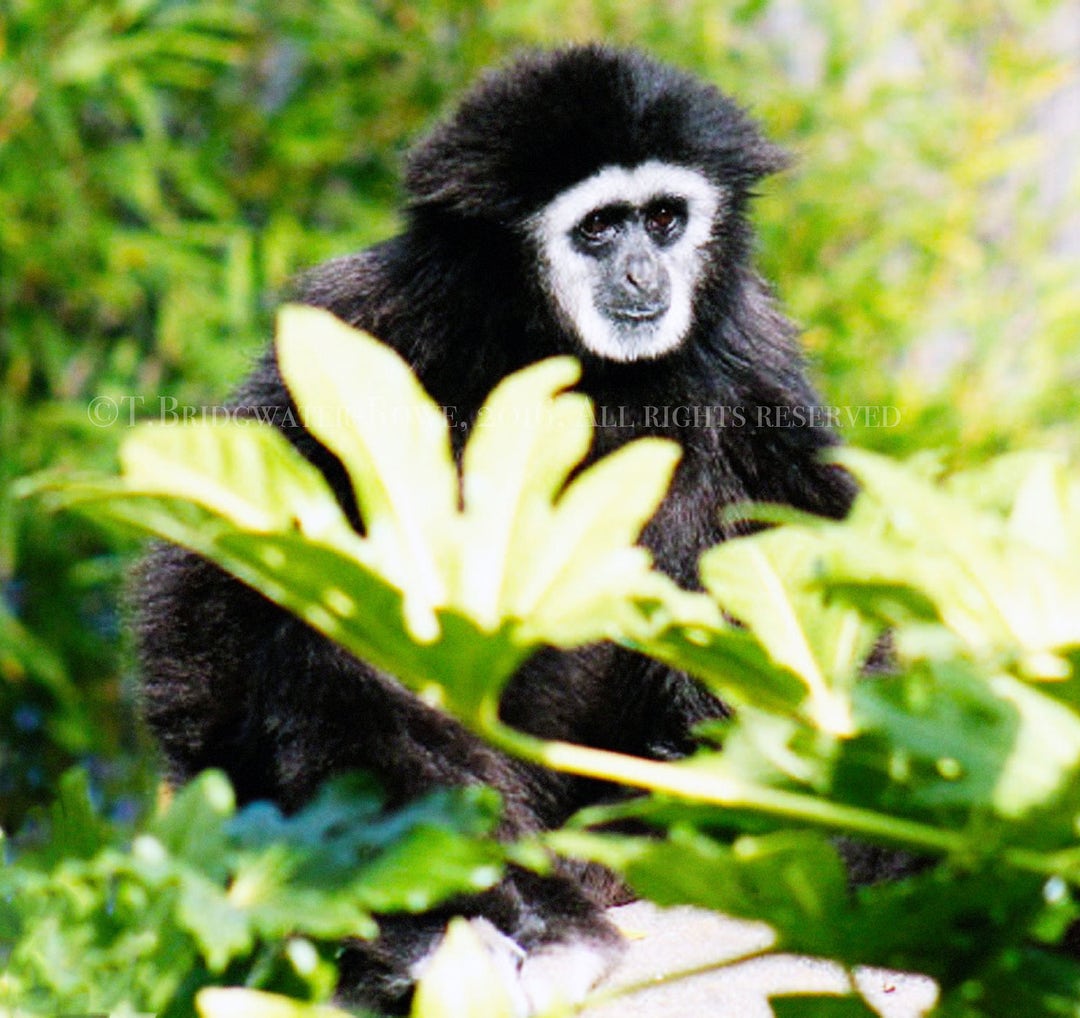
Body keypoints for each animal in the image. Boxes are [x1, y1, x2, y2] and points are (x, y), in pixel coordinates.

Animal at [134, 45, 856, 1014]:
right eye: (600, 230)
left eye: (666, 219)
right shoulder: (372, 314)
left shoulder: (751, 345)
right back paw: (496, 927)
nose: (645, 274)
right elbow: (215, 578)